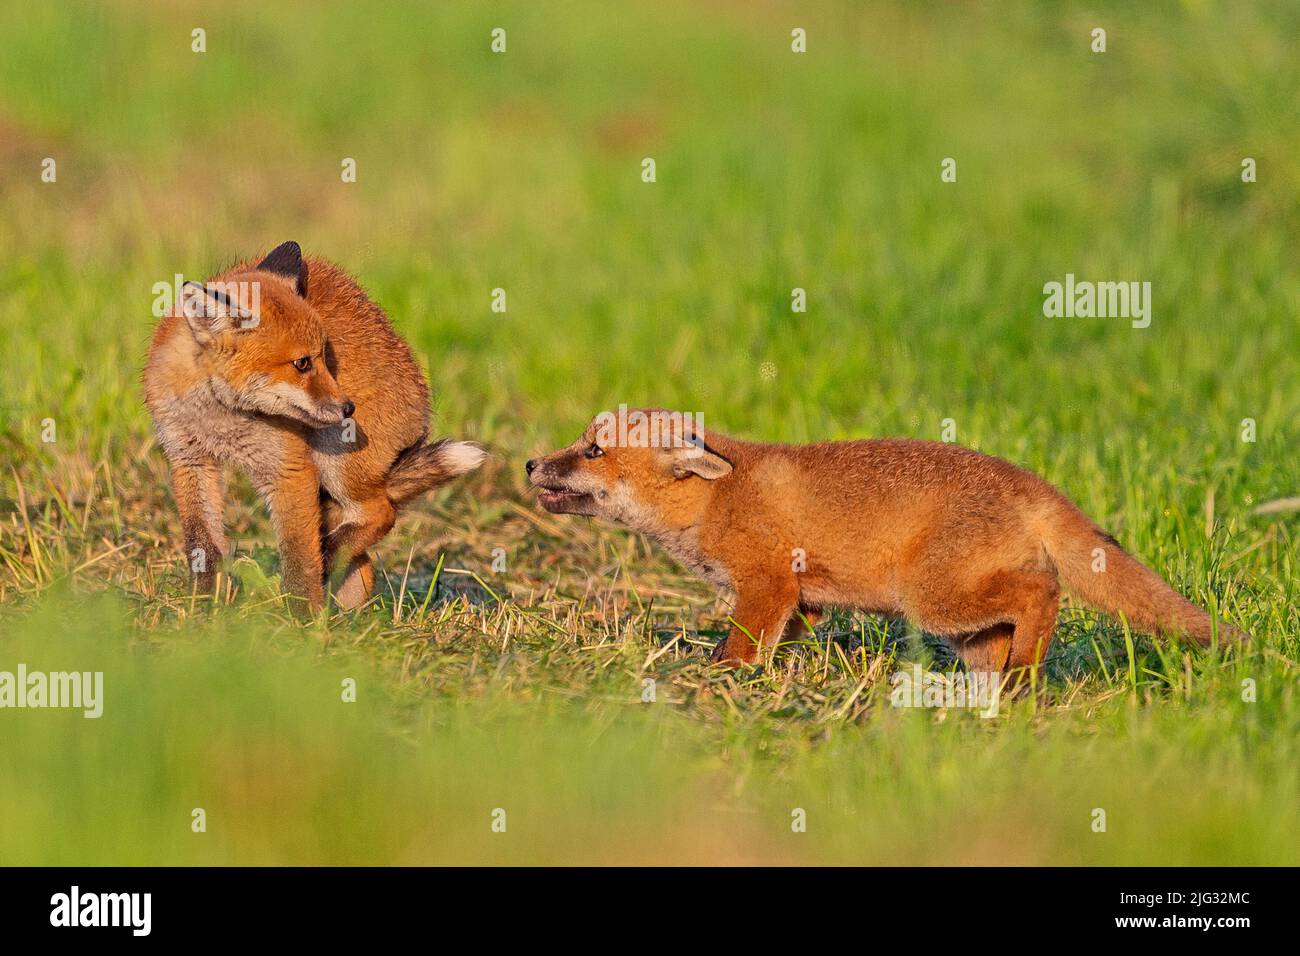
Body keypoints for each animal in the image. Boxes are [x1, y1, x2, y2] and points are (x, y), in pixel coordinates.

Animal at [144, 241, 485, 614]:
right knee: (363, 561)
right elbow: (202, 546)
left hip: (336, 457)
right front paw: (202, 608)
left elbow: (299, 559)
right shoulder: (189, 458)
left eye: (325, 356)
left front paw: (302, 620)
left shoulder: (289, 468)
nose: (348, 408)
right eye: (302, 363)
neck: (223, 415)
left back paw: (329, 566)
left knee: (380, 513)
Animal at [526, 409, 1246, 679]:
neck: (715, 503)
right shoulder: (804, 599)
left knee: (1044, 590)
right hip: (963, 627)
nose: (532, 464)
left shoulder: (768, 582)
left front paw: (720, 680)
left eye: (592, 452)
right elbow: (786, 635)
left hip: (933, 598)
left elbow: (741, 645)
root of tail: (1033, 483)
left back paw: (1025, 673)